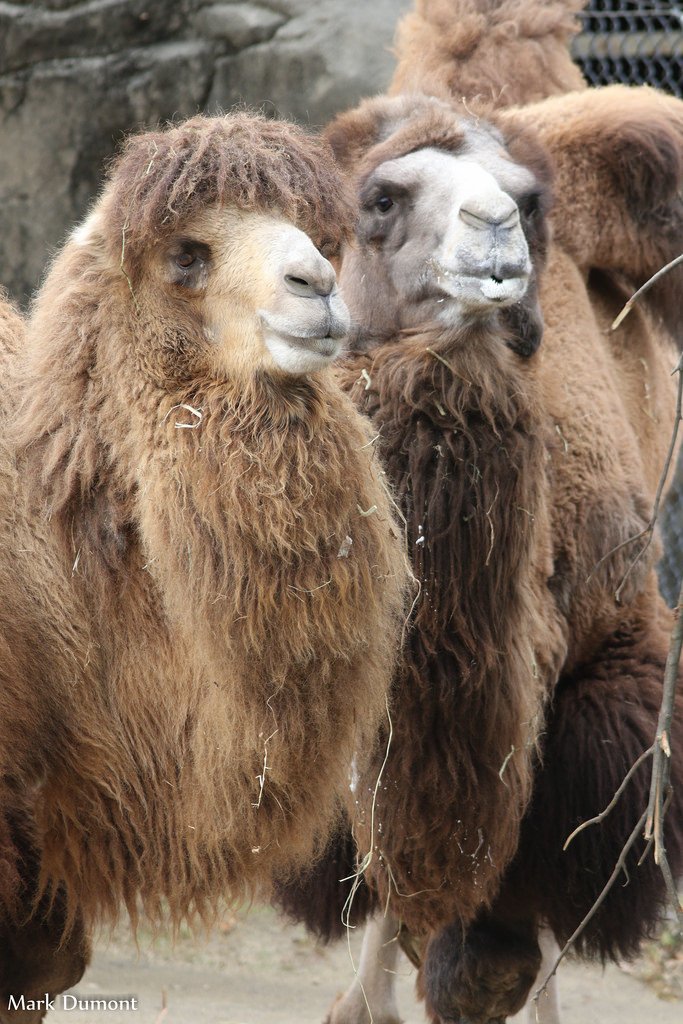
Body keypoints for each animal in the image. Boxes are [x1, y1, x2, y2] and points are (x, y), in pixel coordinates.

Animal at [275, 84, 683, 1024]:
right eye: (381, 199)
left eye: (528, 204)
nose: (494, 230)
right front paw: (371, 997)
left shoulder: (603, 680)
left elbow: (509, 941)